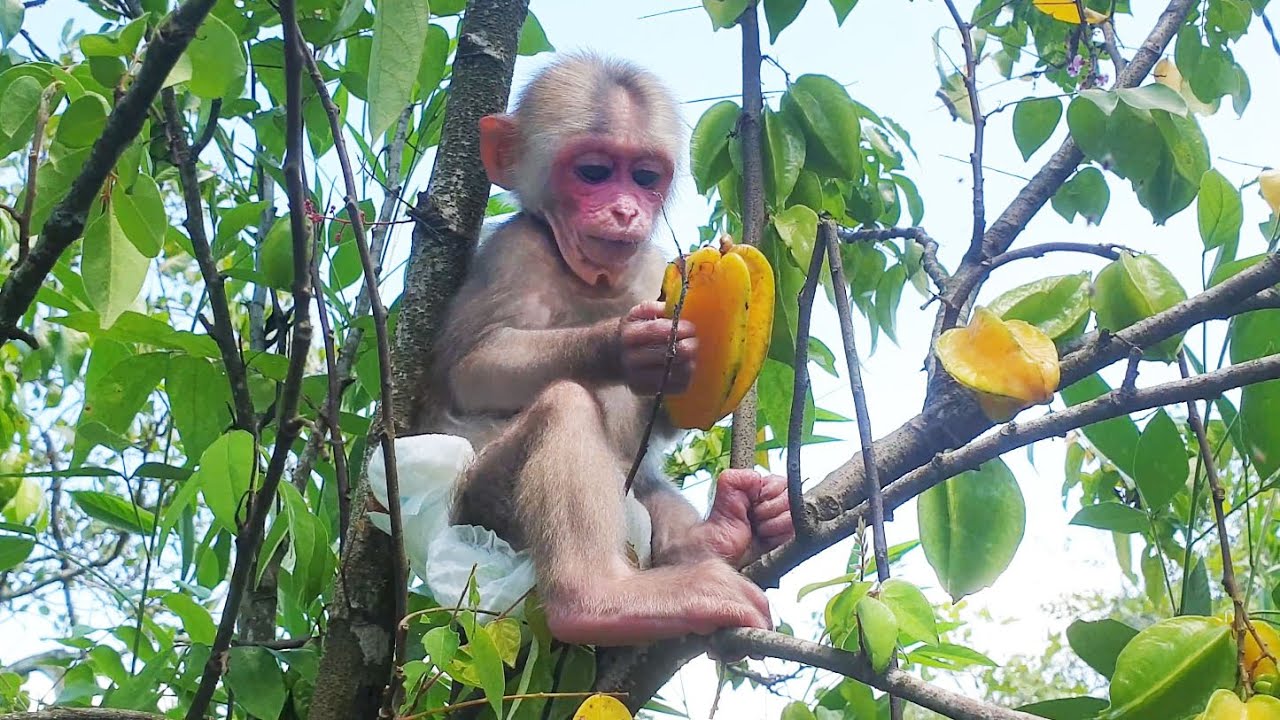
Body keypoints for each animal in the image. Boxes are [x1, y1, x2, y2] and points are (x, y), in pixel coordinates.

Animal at [416, 53, 795, 647]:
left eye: (644, 177)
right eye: (594, 172)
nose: (624, 211)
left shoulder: (650, 267)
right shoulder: (515, 251)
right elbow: (474, 364)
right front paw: (625, 345)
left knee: (647, 486)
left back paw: (724, 532)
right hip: (477, 508)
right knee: (566, 406)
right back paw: (597, 598)